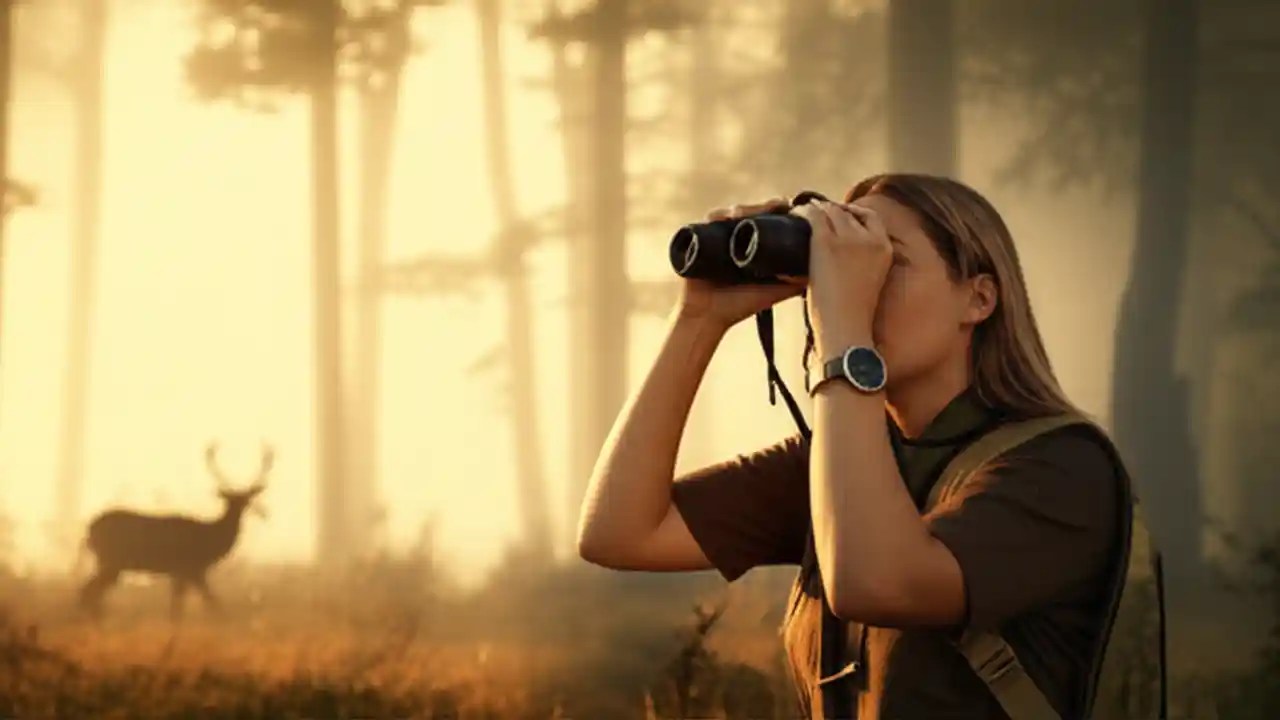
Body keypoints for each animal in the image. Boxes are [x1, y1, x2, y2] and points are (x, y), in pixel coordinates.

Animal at [77, 442, 272, 621]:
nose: (261, 513)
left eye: (246, 500)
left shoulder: (182, 572)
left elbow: (180, 607)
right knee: (88, 593)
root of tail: (89, 529)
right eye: (229, 501)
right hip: (112, 560)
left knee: (88, 592)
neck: (209, 539)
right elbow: (207, 603)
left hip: (109, 563)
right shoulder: (191, 568)